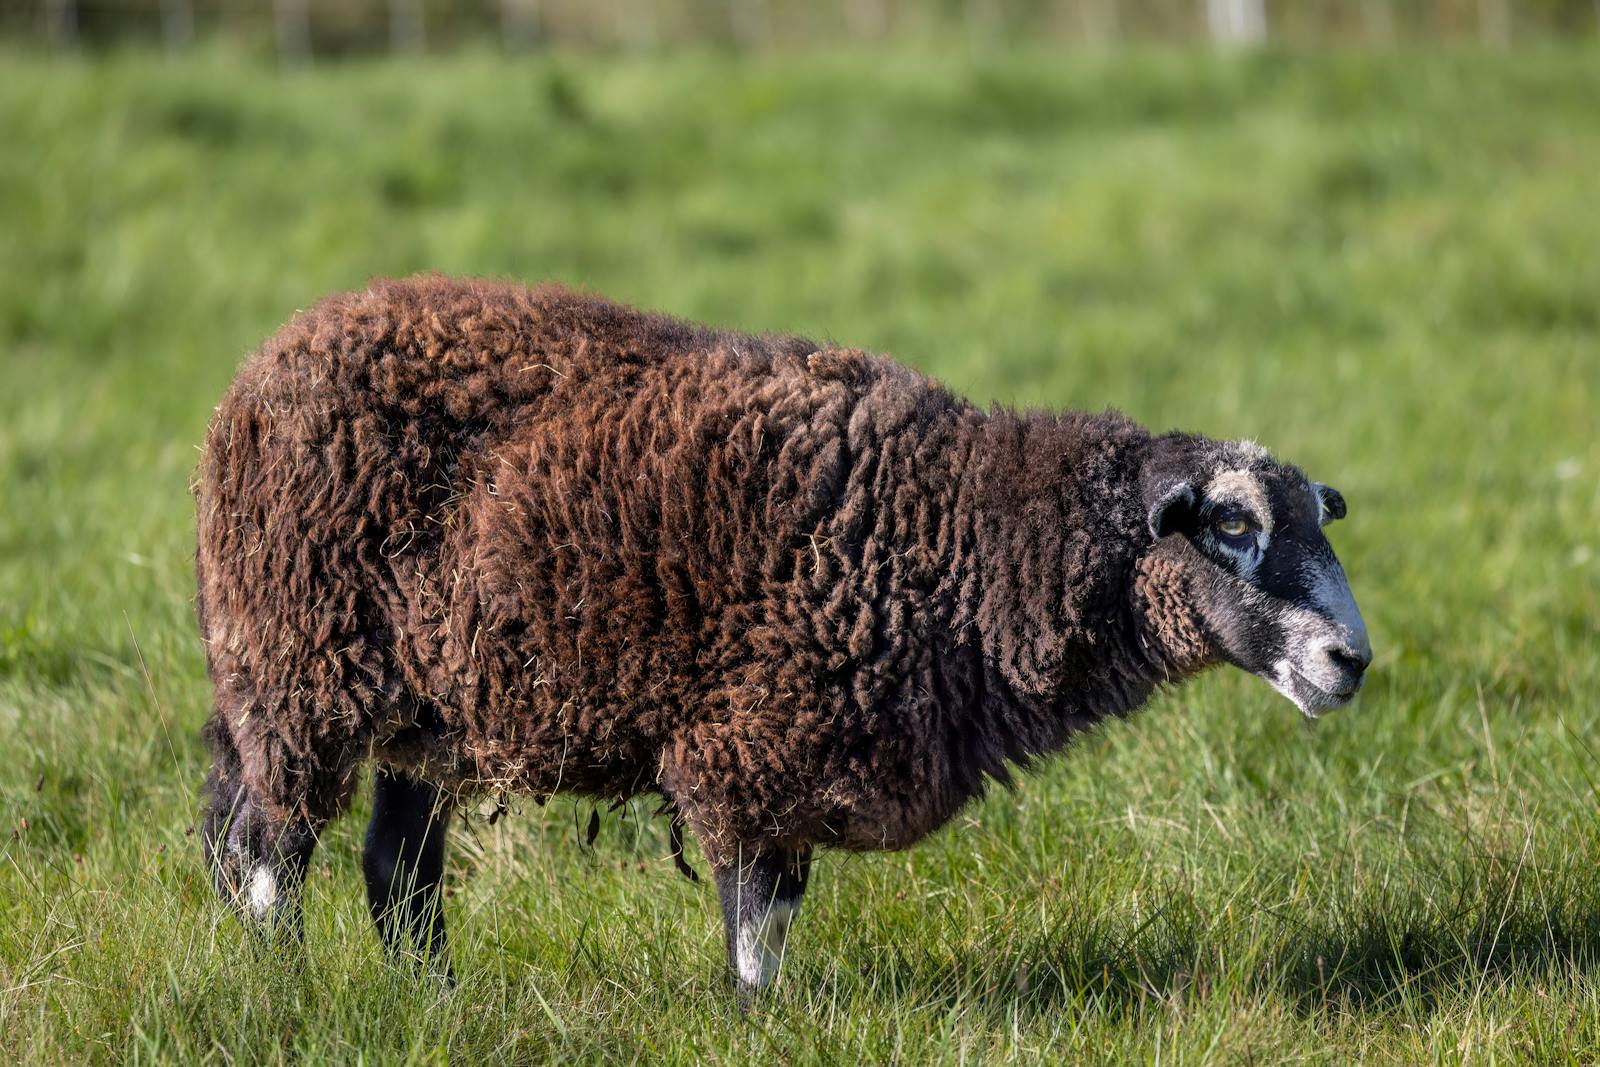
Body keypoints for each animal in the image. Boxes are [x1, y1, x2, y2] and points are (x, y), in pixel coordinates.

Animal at [195, 275, 1371, 998]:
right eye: (1231, 525)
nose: (1349, 660)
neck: (961, 532)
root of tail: (260, 366)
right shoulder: (752, 748)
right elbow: (756, 927)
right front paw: (756, 1023)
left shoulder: (801, 763)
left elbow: (778, 913)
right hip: (299, 669)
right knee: (266, 850)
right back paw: (282, 987)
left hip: (427, 705)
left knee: (395, 870)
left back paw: (435, 1001)